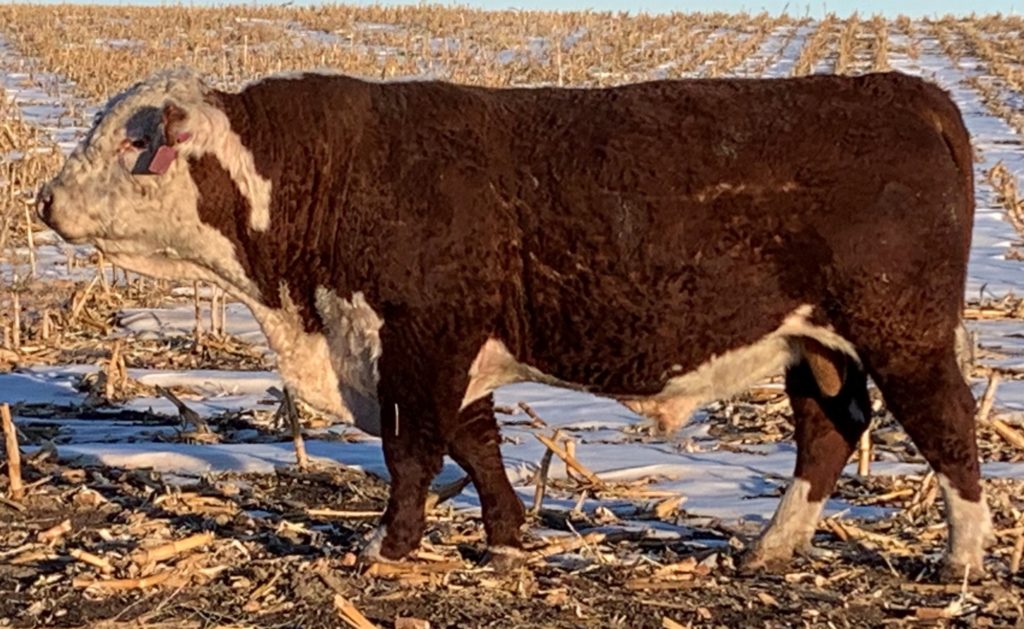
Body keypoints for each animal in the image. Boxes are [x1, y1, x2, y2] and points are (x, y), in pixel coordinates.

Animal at [39, 68, 991, 578]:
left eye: (128, 142)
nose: (44, 199)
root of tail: (908, 92)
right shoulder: (448, 351)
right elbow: (479, 445)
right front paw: (504, 539)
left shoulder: (419, 342)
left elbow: (415, 453)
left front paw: (388, 547)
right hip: (817, 344)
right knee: (829, 432)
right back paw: (767, 551)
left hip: (902, 331)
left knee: (950, 429)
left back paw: (960, 559)